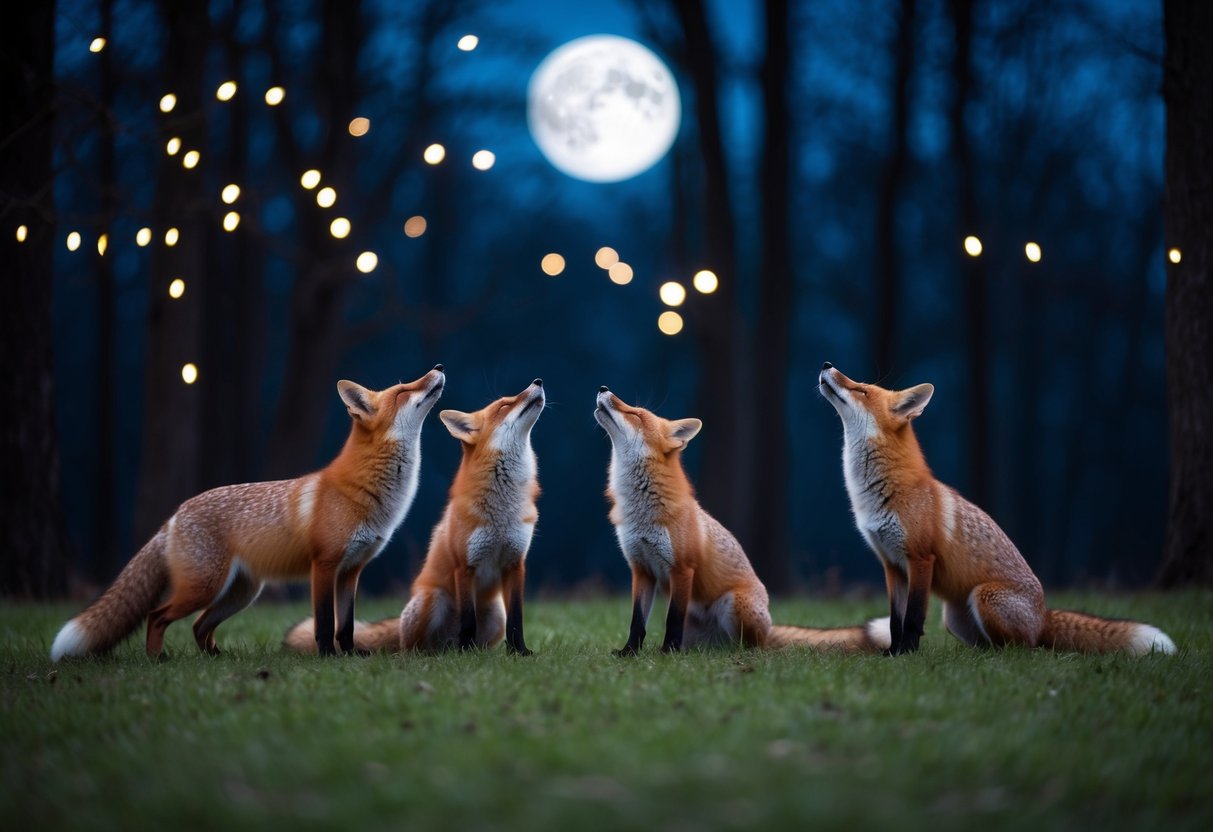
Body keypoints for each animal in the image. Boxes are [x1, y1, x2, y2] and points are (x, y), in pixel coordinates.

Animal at [50, 366, 446, 661]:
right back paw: (156, 659)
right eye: (402, 390)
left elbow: (345, 625)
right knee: (158, 616)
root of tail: (175, 514)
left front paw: (349, 655)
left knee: (198, 626)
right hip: (204, 588)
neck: (366, 494)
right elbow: (323, 622)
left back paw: (214, 658)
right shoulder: (324, 565)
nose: (439, 367)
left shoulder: (352, 570)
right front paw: (326, 658)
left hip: (239, 593)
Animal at [283, 379, 545, 655]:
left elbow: (516, 620)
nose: (538, 381)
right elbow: (468, 621)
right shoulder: (465, 565)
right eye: (505, 405)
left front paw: (520, 652)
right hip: (432, 601)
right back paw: (441, 653)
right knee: (411, 646)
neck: (502, 515)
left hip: (496, 615)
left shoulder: (515, 564)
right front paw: (466, 652)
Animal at [595, 387, 889, 654]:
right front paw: (629, 652)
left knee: (753, 646)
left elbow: (672, 620)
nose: (603, 388)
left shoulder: (682, 568)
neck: (641, 512)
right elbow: (637, 622)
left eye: (635, 414)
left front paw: (668, 652)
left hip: (736, 604)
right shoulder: (641, 569)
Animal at [818, 362, 1176, 656]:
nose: (826, 365)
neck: (883, 493)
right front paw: (892, 653)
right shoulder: (892, 566)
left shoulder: (920, 559)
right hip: (954, 618)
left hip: (984, 596)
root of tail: (1044, 615)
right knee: (992, 647)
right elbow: (896, 620)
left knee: (1025, 649)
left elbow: (913, 618)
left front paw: (907, 655)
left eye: (861, 390)